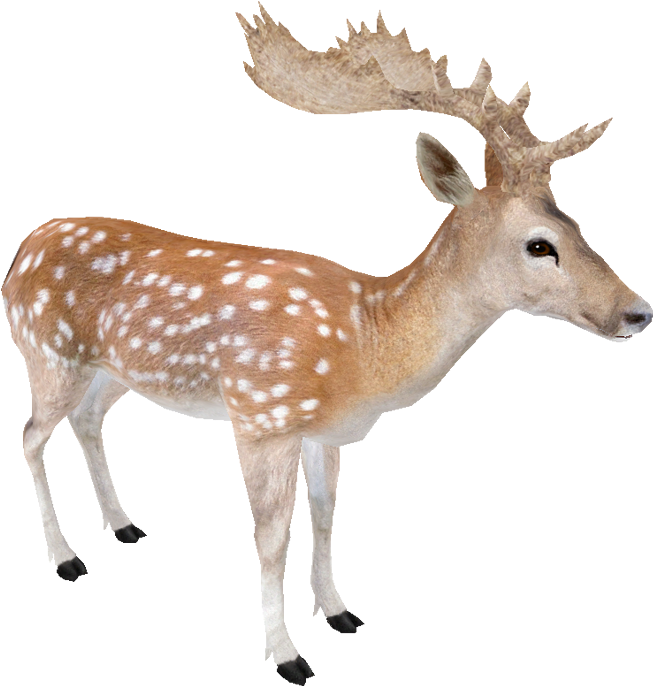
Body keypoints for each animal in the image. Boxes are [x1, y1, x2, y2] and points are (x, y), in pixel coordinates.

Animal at [2, 3, 650, 684]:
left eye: (577, 225)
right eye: (539, 244)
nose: (638, 312)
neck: (366, 343)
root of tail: (19, 256)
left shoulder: (329, 430)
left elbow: (325, 513)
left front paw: (338, 610)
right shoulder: (262, 415)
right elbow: (271, 538)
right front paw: (286, 653)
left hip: (111, 370)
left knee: (87, 420)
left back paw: (123, 524)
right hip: (44, 351)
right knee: (31, 433)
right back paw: (64, 555)